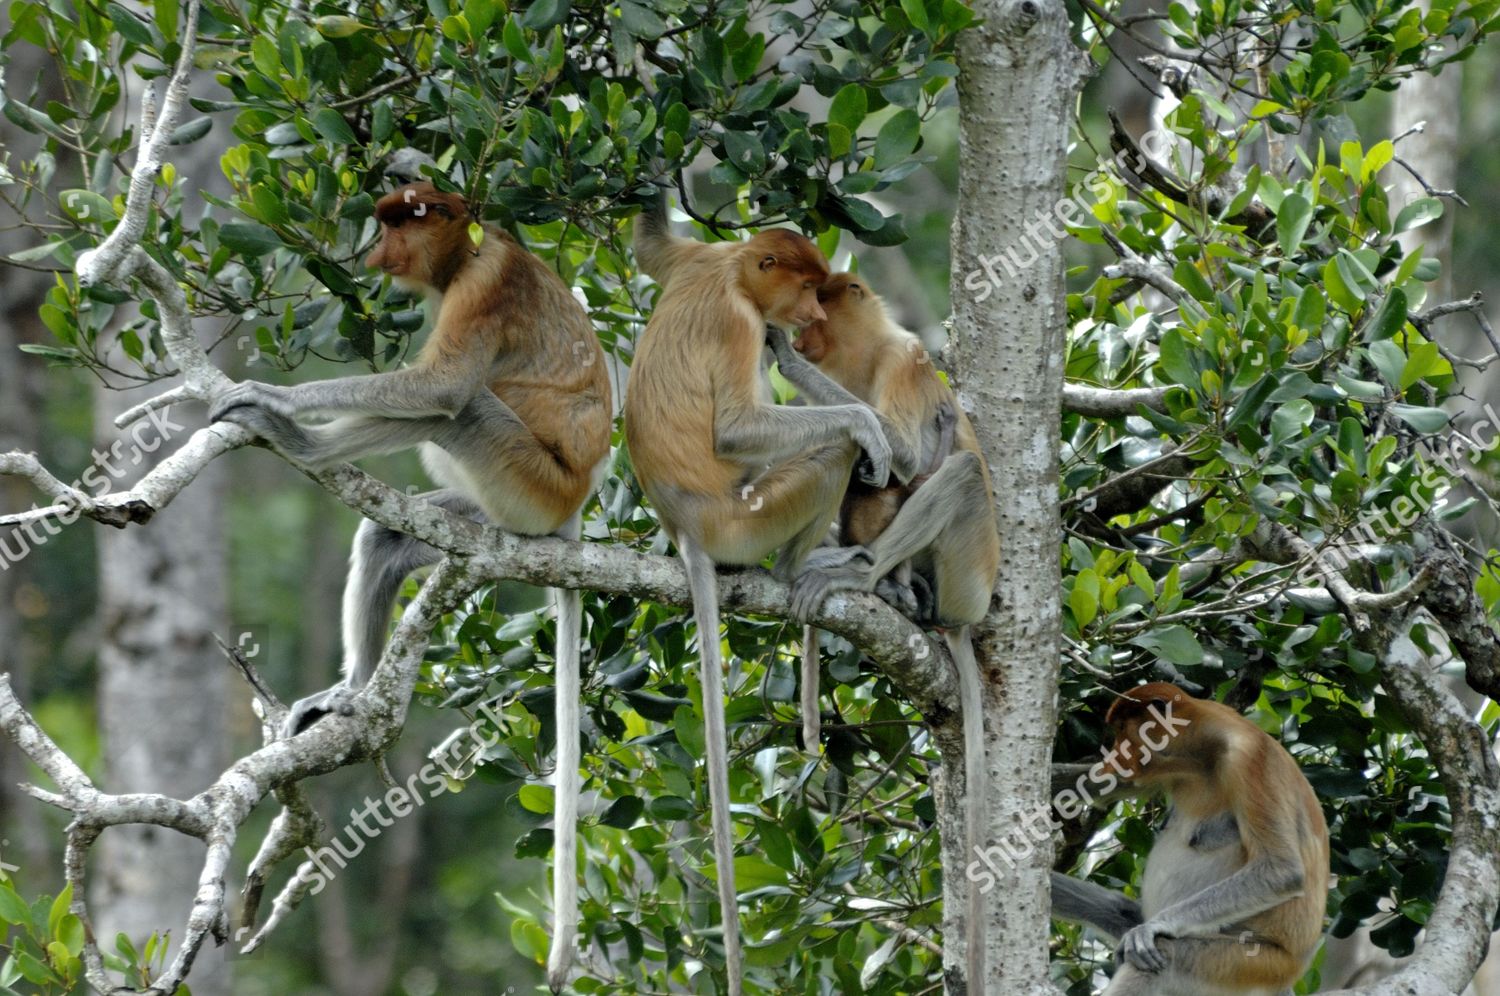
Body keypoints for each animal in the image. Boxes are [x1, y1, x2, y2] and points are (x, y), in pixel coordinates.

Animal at [208, 181, 611, 992]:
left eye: (406, 221)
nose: (376, 254)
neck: (464, 256)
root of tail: (574, 509)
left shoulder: (485, 285)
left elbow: (441, 384)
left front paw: (275, 399)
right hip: (495, 505)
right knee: (386, 538)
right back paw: (353, 693)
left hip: (526, 485)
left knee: (455, 406)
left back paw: (300, 443)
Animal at [625, 199, 903, 995]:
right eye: (806, 287)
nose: (809, 315)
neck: (732, 277)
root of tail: (688, 526)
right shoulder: (733, 320)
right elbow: (736, 428)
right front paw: (867, 425)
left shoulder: (697, 260)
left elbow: (654, 251)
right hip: (748, 515)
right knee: (826, 455)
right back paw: (800, 563)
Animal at [766, 271, 999, 990]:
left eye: (820, 309)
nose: (804, 339)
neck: (862, 357)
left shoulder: (904, 363)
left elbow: (901, 452)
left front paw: (781, 357)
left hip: (967, 569)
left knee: (953, 473)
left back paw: (865, 575)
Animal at [1048, 682, 1330, 996]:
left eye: (1122, 729)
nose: (1115, 753)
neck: (1205, 753)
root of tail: (1293, 968)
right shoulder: (1170, 766)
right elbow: (1098, 782)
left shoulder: (1249, 760)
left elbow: (1282, 870)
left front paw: (1153, 928)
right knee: (1115, 909)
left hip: (1253, 964)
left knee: (1168, 954)